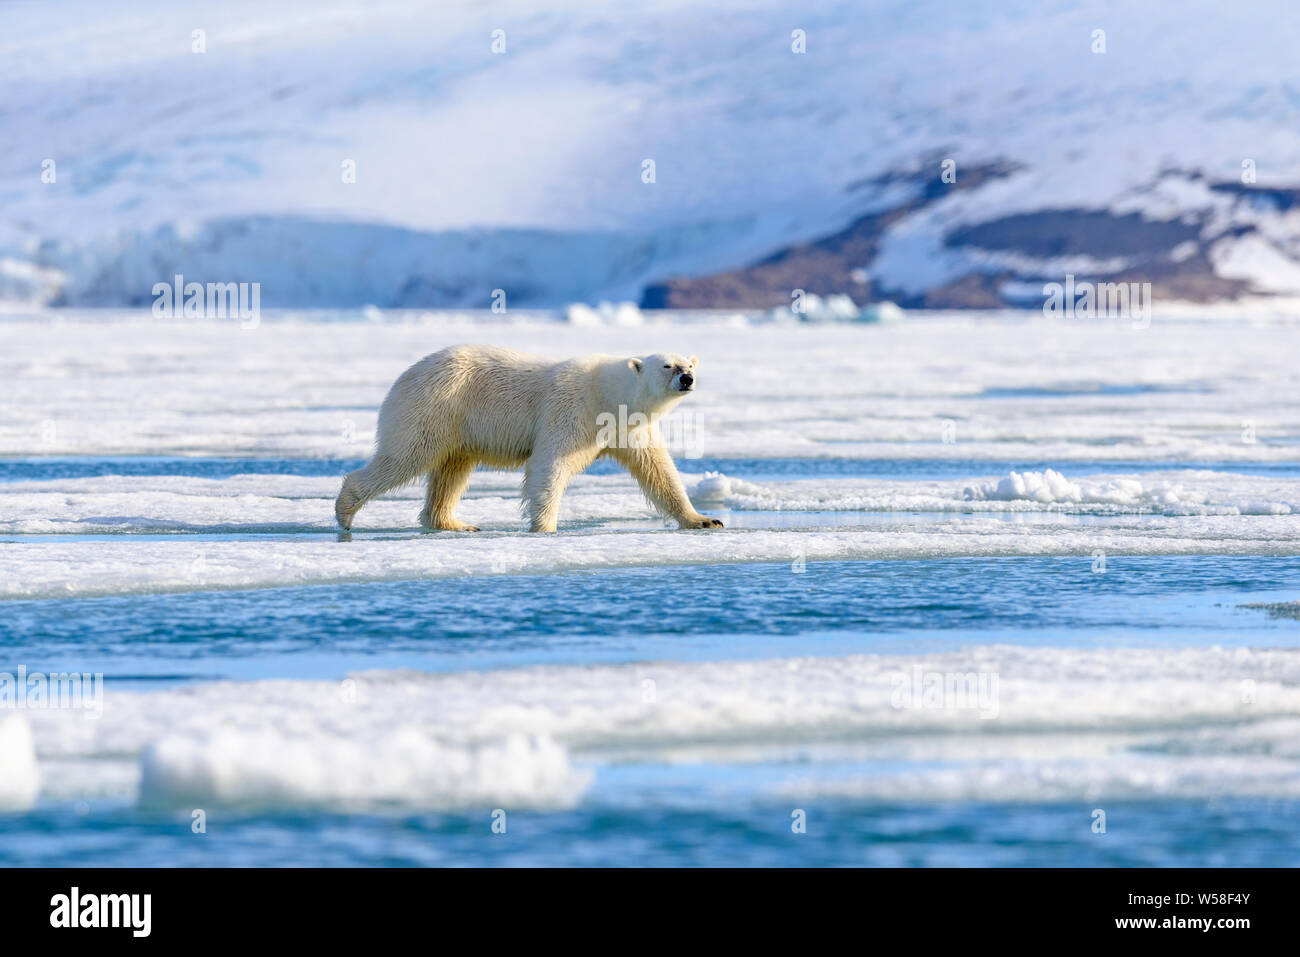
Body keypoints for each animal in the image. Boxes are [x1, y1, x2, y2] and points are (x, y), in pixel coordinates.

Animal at [334, 345, 725, 534]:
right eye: (667, 366)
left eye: (689, 364)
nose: (687, 378)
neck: (606, 394)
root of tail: (403, 377)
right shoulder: (570, 411)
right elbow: (550, 465)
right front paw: (546, 528)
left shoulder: (629, 428)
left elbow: (659, 471)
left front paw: (705, 519)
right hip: (436, 407)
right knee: (406, 456)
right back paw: (346, 511)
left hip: (459, 427)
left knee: (451, 471)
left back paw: (455, 523)